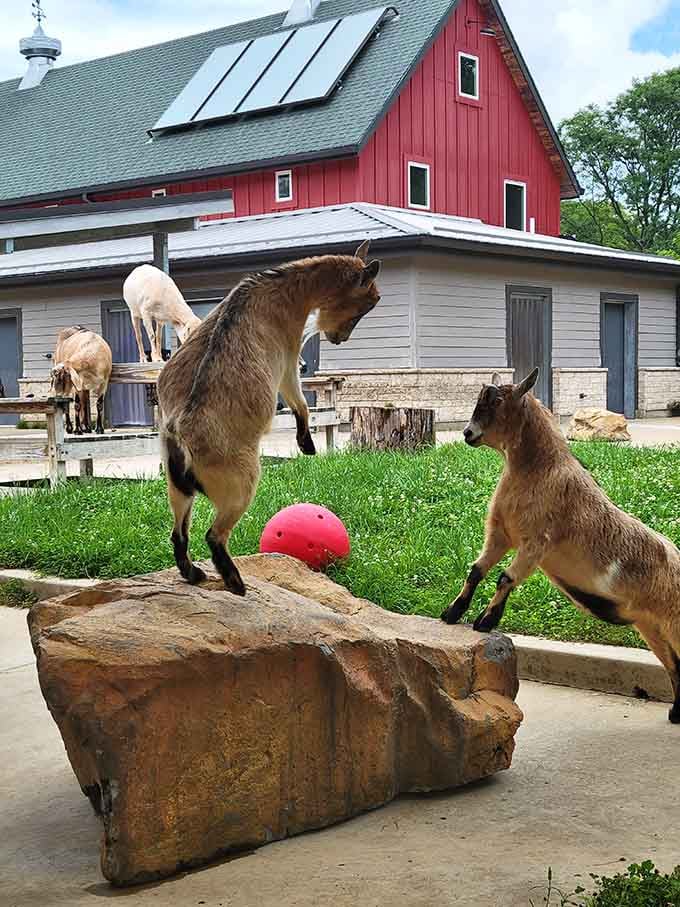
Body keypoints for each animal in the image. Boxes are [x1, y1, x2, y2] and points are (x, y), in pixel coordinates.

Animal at [157, 241, 382, 596]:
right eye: (368, 302)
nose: (340, 338)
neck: (285, 288)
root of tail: (181, 434)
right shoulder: (288, 358)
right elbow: (299, 399)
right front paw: (307, 445)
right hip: (241, 482)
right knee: (214, 534)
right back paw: (235, 582)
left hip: (177, 485)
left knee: (179, 532)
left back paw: (194, 574)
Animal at [441, 368, 680, 724]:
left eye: (497, 401)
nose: (468, 433)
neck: (541, 470)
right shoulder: (500, 534)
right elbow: (477, 569)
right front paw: (452, 612)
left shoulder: (536, 543)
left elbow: (505, 577)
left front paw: (486, 621)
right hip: (650, 625)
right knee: (674, 663)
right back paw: (677, 713)